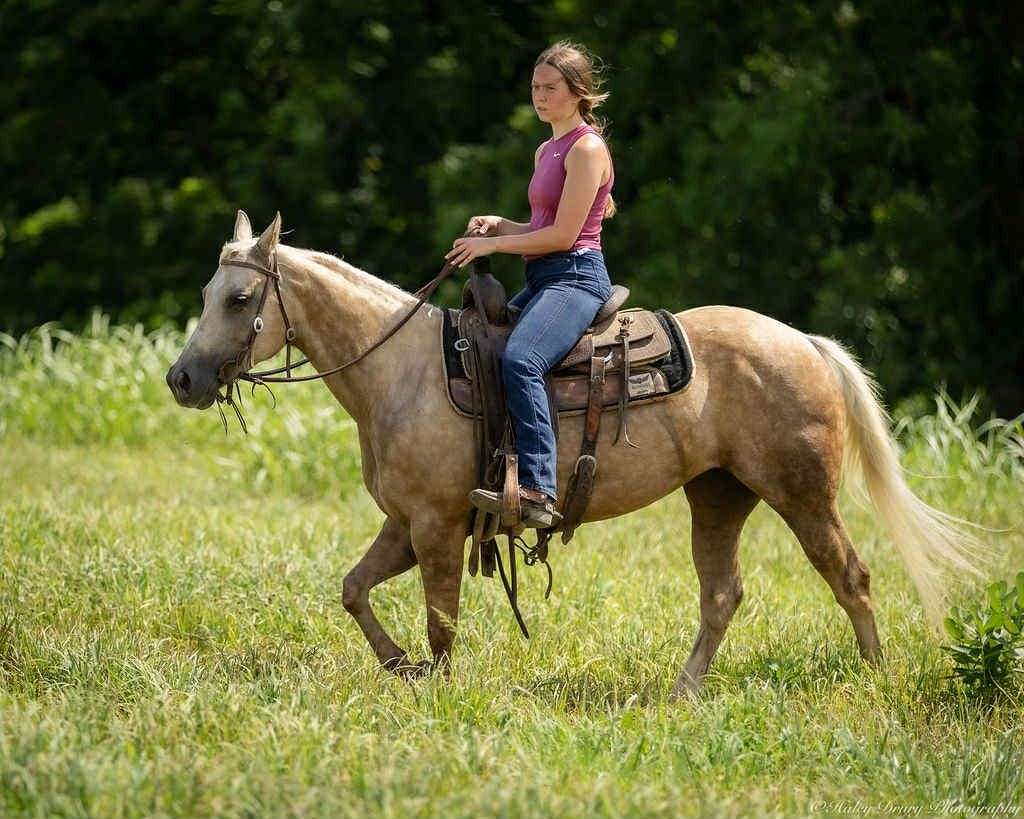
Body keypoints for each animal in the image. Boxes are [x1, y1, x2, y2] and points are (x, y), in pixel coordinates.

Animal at [166, 211, 984, 698]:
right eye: (208, 290)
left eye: (239, 299)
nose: (182, 379)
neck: (401, 370)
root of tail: (804, 342)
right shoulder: (404, 524)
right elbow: (353, 589)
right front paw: (401, 667)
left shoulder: (435, 524)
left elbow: (441, 618)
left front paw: (435, 683)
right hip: (719, 494)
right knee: (722, 594)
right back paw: (682, 694)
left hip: (802, 494)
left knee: (850, 575)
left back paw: (876, 680)